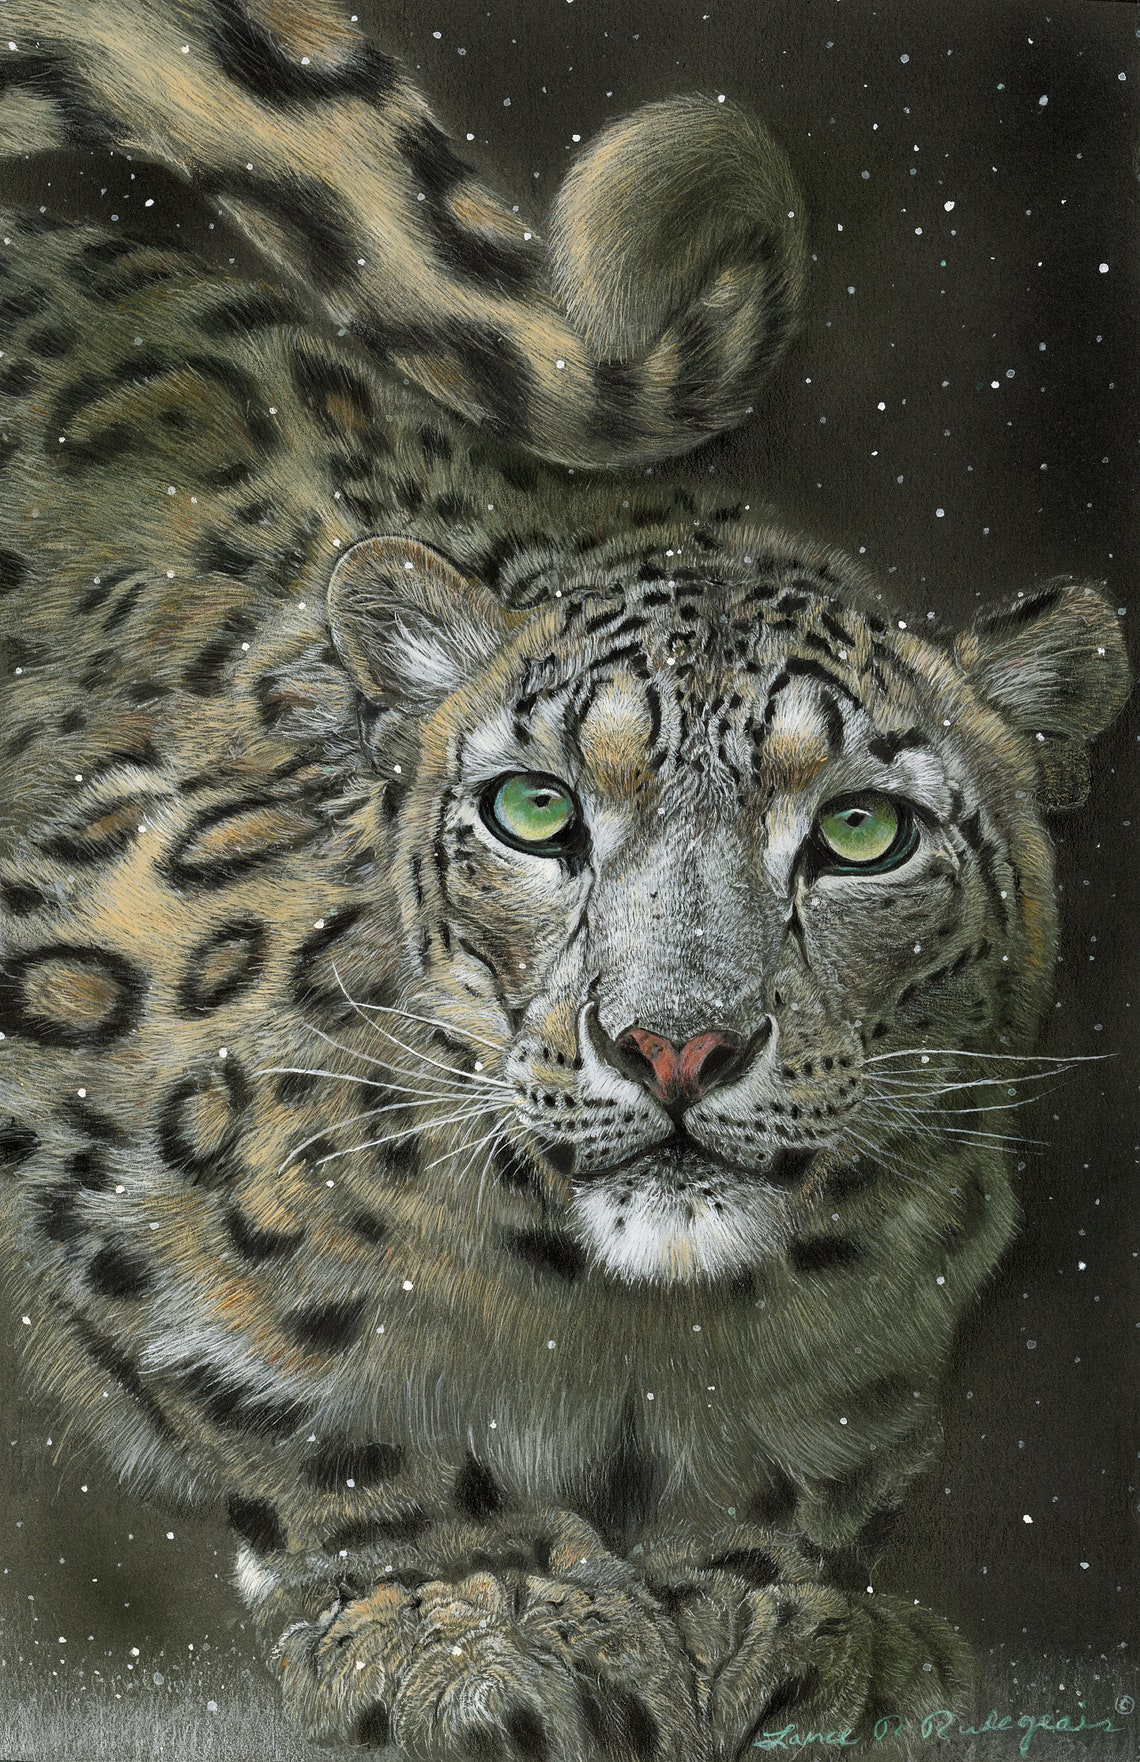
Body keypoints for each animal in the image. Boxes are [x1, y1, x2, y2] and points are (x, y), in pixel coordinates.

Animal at [0, 4, 1129, 1759]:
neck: (630, 1334)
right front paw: (466, 1612)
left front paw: (778, 1614)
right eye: (535, 809)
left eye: (864, 831)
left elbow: (821, 1465)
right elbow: (302, 1415)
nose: (674, 1046)